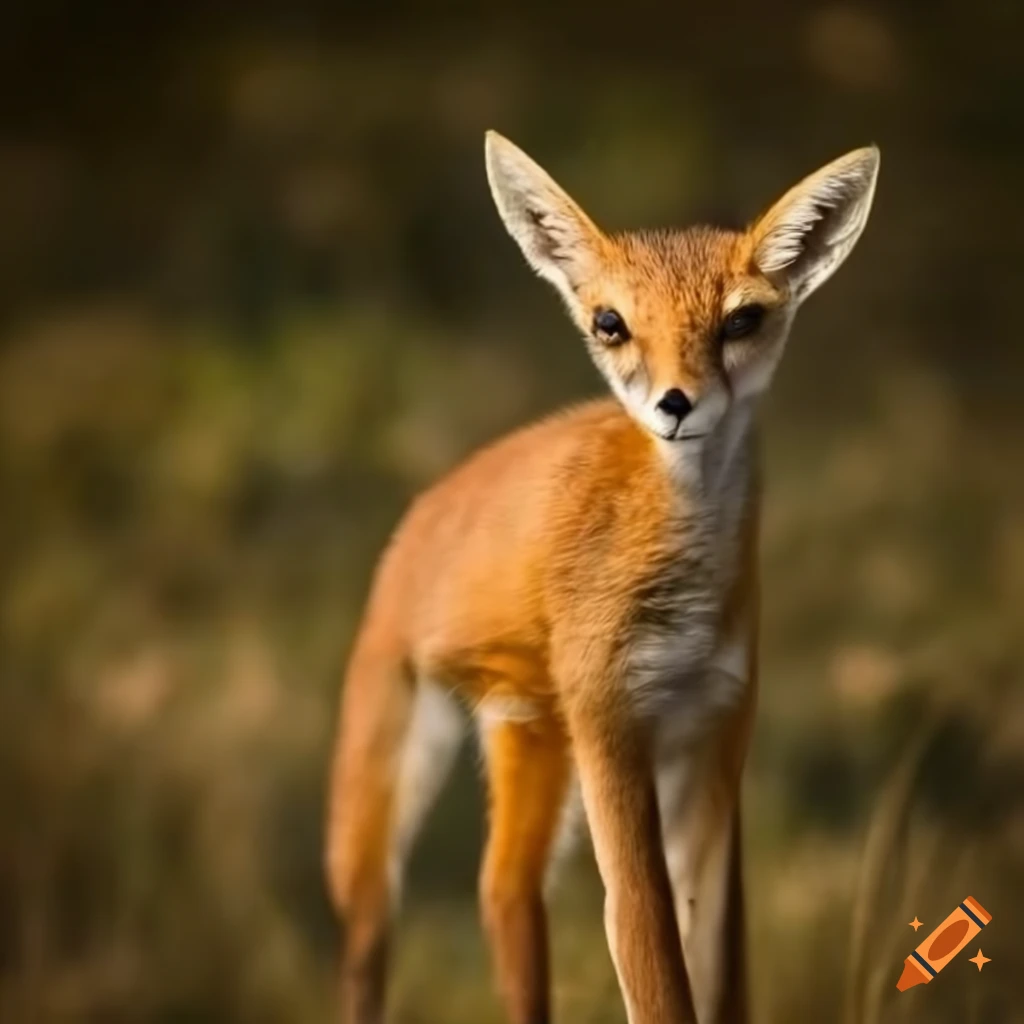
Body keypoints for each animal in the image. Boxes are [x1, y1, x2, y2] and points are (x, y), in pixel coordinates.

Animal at [325, 131, 879, 1024]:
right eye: (610, 324)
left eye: (742, 321)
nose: (676, 404)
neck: (680, 601)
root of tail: (424, 509)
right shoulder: (616, 733)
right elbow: (650, 958)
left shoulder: (714, 739)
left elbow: (720, 968)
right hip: (381, 817)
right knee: (372, 943)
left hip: (536, 749)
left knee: (502, 894)